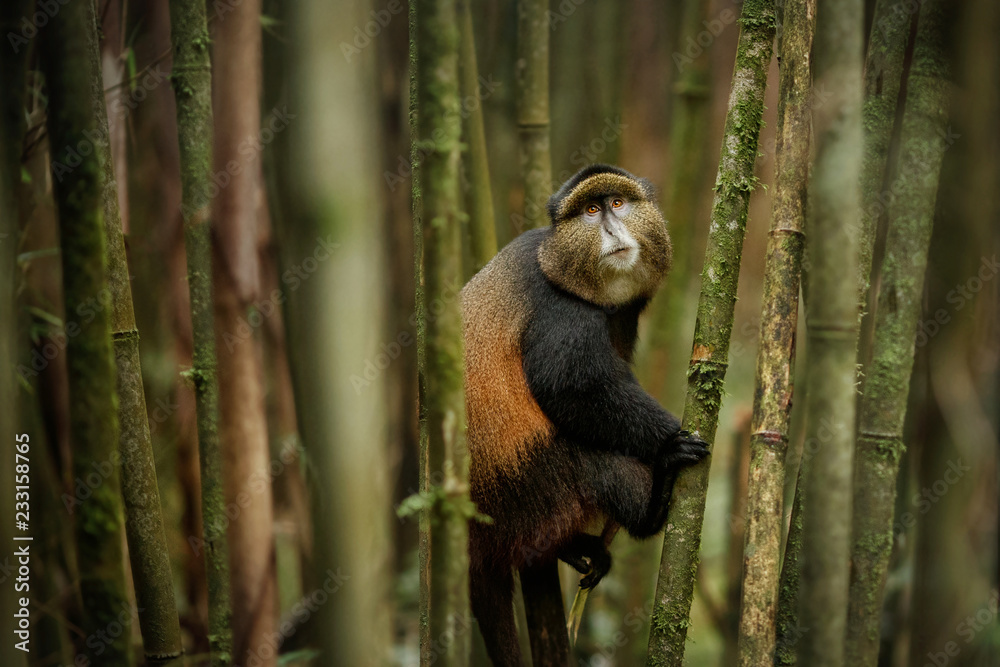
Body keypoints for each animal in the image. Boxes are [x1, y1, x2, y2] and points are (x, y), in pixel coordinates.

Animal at [461, 164, 710, 666]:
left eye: (617, 204)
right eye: (591, 211)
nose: (611, 229)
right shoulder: (562, 312)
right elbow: (570, 389)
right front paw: (669, 441)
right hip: (525, 481)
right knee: (596, 463)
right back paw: (653, 505)